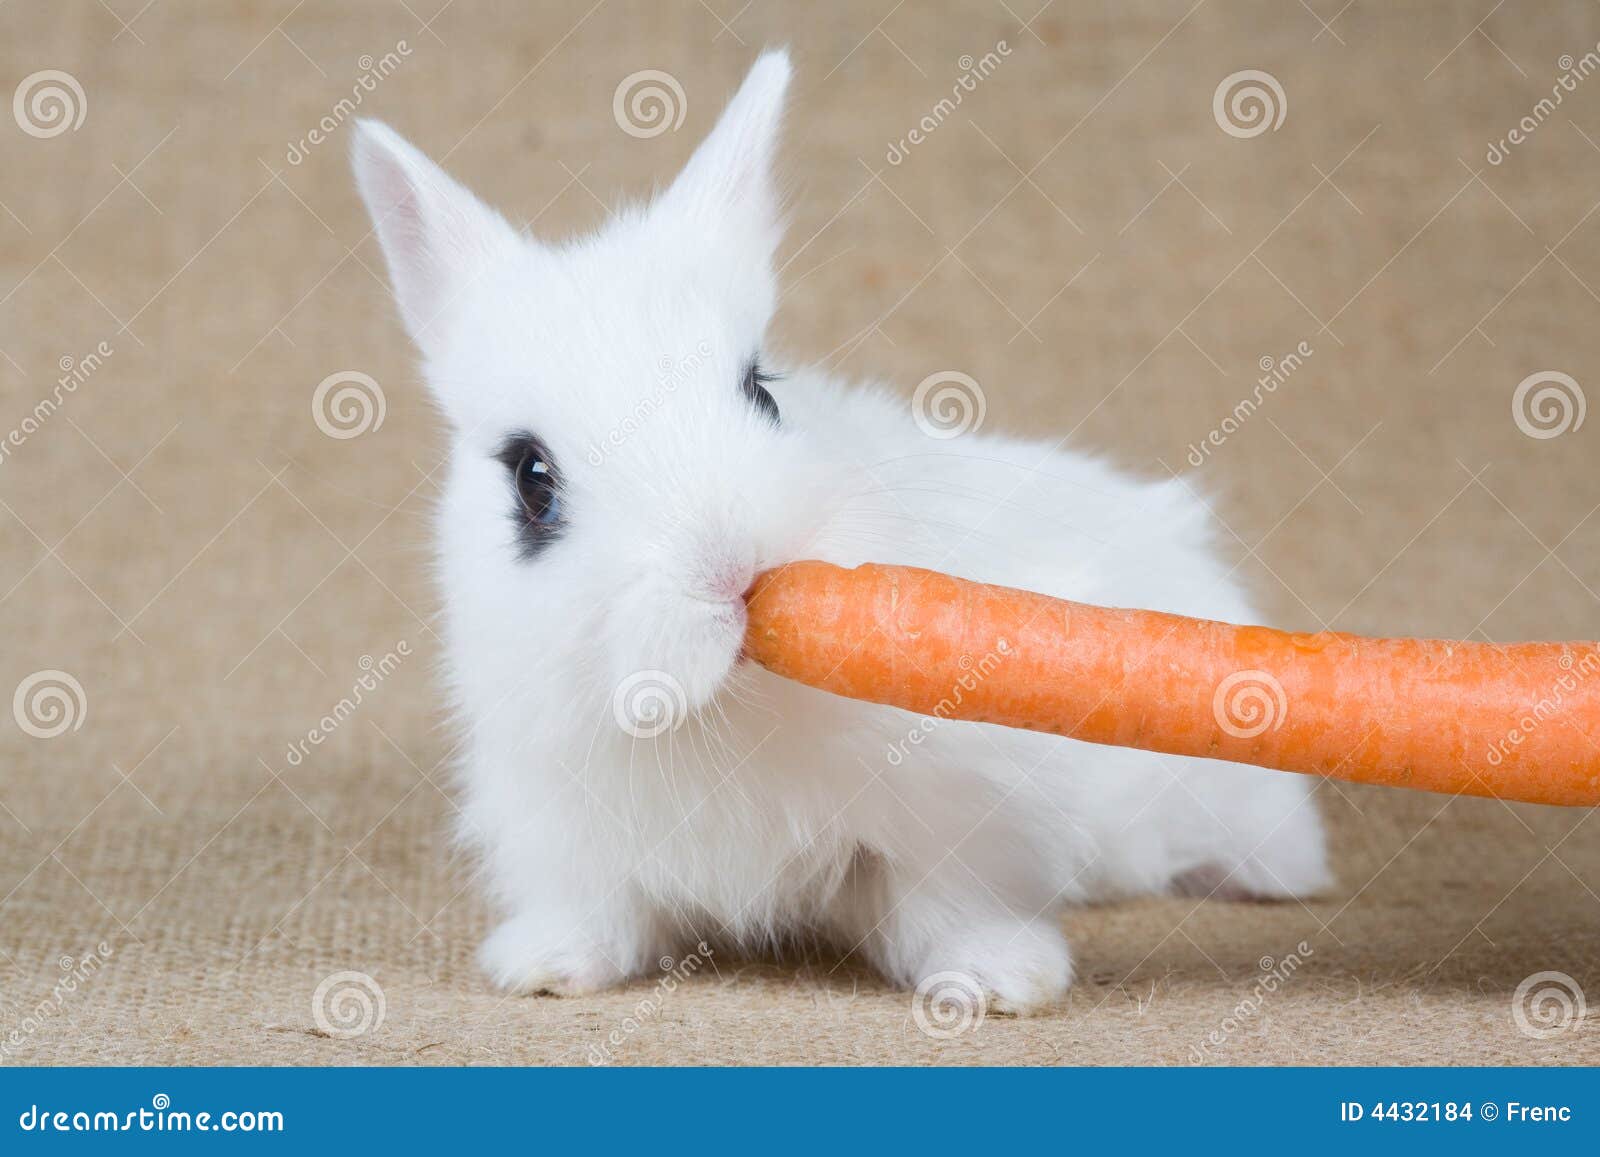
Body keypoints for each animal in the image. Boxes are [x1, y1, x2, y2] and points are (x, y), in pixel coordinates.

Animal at [350, 49, 1331, 1013]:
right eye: (532, 478)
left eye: (762, 391)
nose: (731, 567)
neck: (732, 711)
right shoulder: (565, 832)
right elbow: (600, 913)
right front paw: (544, 966)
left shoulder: (951, 815)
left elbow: (950, 902)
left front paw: (1000, 978)